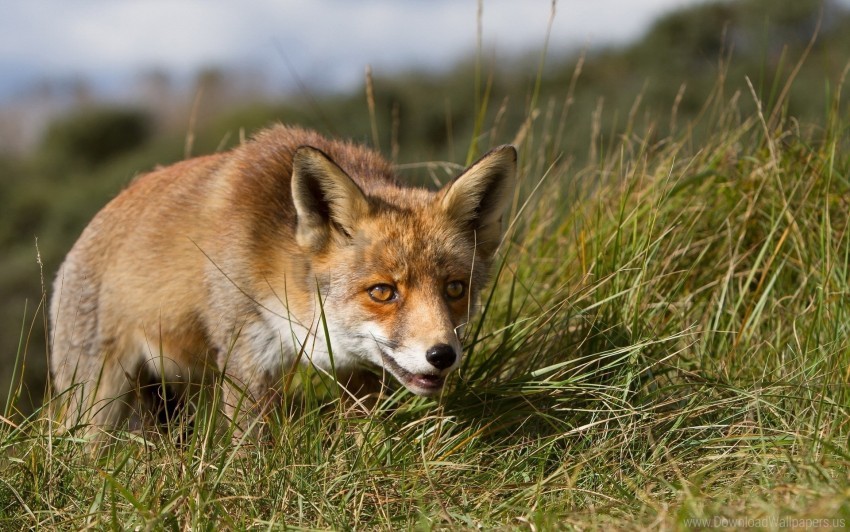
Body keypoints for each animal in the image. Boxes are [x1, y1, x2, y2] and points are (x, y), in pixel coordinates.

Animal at [49, 124, 517, 435]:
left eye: (455, 289)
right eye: (383, 291)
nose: (442, 355)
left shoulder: (356, 372)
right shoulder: (245, 356)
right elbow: (251, 448)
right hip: (99, 401)